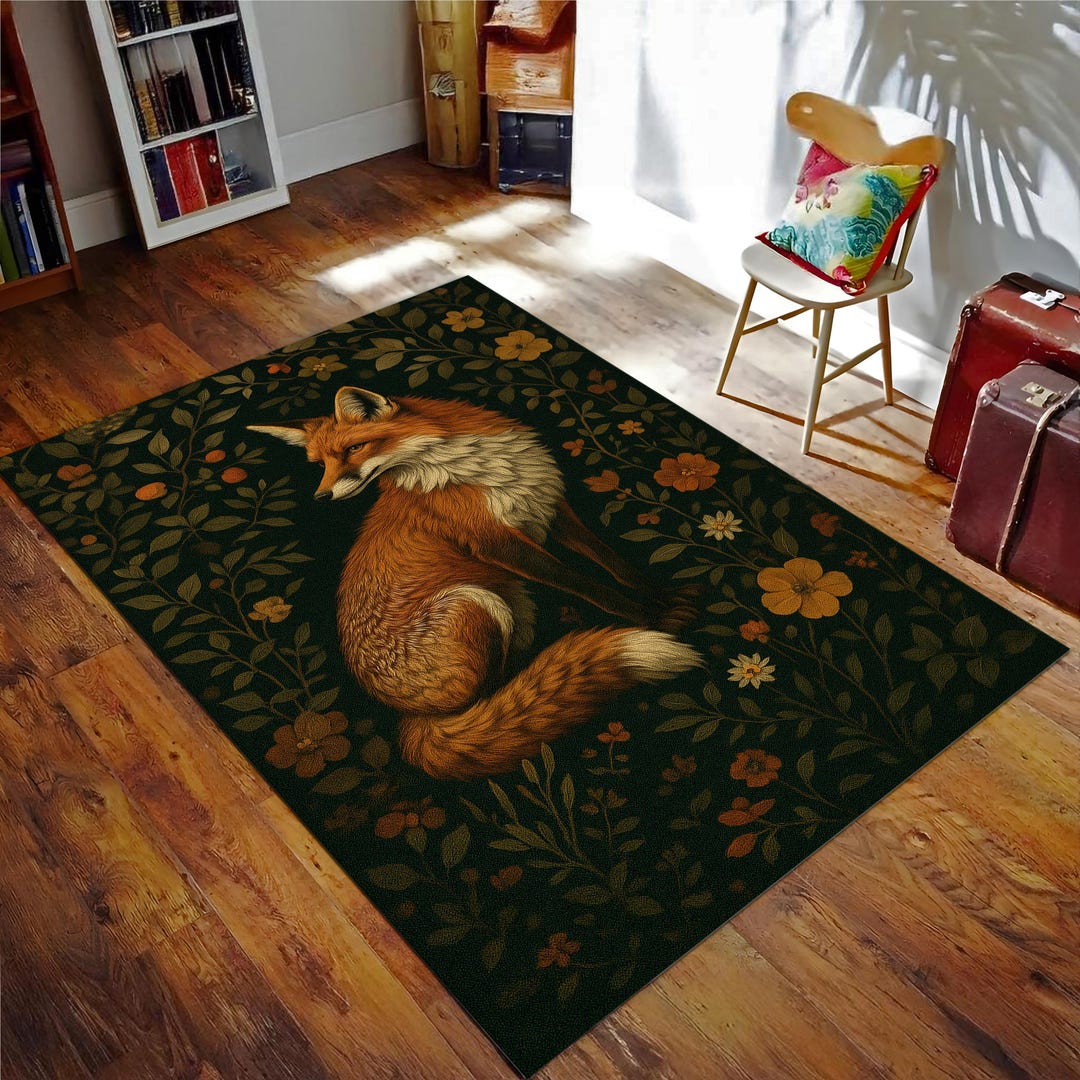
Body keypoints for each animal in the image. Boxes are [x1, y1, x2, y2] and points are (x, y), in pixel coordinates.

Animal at [248, 386, 702, 781]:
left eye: (352, 450)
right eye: (318, 464)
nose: (321, 498)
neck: (473, 470)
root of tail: (410, 713)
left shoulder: (549, 506)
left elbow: (612, 564)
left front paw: (663, 599)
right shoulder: (496, 543)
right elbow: (587, 584)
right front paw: (646, 617)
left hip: (513, 606)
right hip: (478, 601)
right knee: (491, 700)